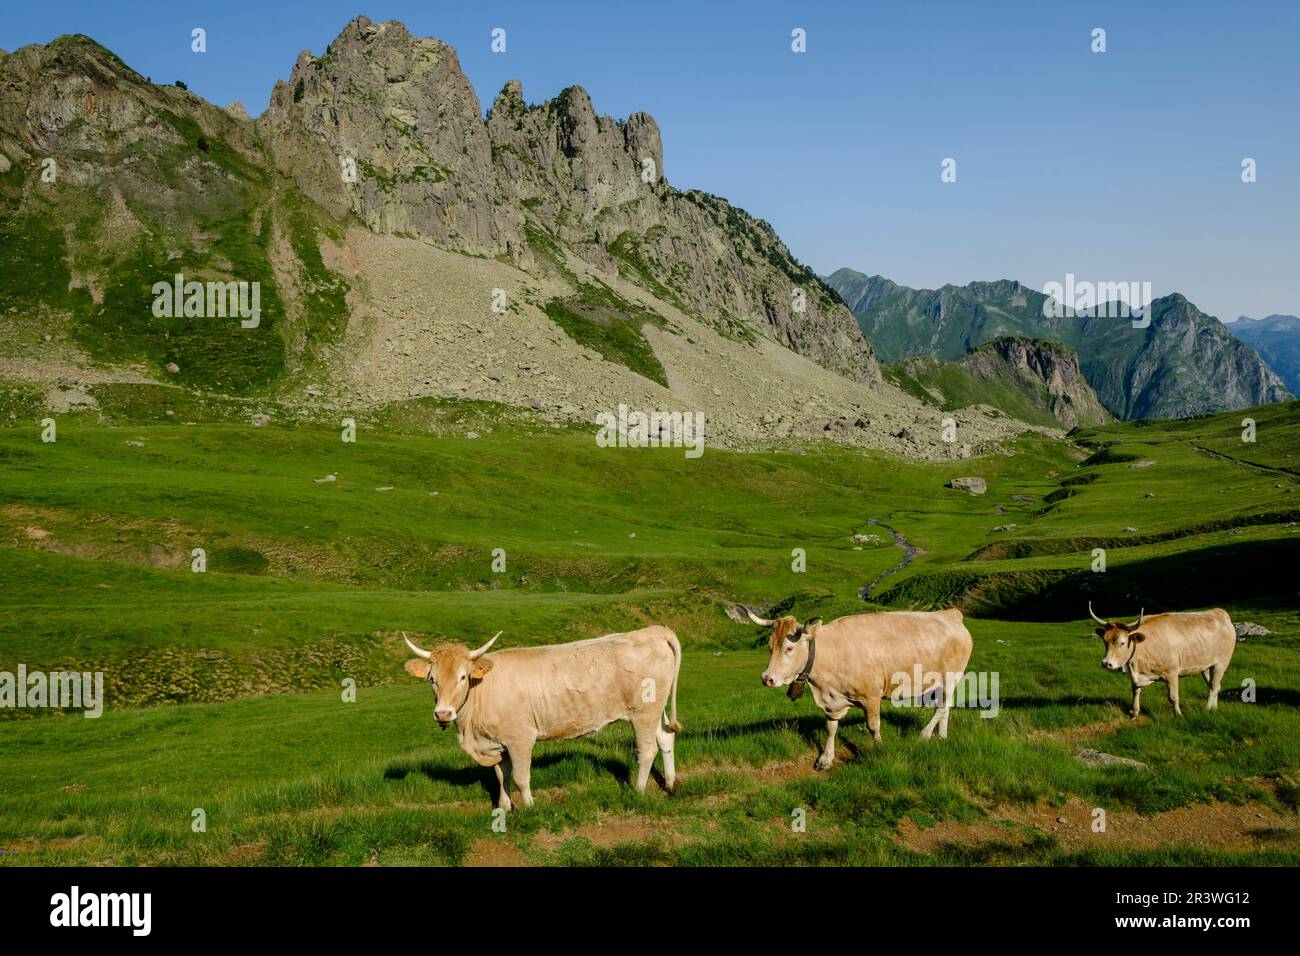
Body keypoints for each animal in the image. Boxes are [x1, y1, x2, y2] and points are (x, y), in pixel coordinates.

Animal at [402, 626, 683, 811]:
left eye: (462, 677)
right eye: (432, 679)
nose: (443, 713)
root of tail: (654, 631)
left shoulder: (521, 738)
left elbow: (520, 777)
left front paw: (529, 807)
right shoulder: (498, 743)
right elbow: (501, 775)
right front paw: (505, 807)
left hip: (643, 713)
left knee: (647, 750)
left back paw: (638, 791)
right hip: (655, 710)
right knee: (666, 738)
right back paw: (670, 785)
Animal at [746, 607, 973, 770]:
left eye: (789, 648)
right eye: (770, 646)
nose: (767, 678)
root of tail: (950, 613)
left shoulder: (871, 696)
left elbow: (873, 726)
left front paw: (879, 748)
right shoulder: (832, 701)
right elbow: (831, 728)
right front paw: (826, 758)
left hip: (952, 676)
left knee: (942, 707)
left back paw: (924, 734)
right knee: (945, 707)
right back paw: (941, 736)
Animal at [1087, 602, 1236, 718]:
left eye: (1122, 643)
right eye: (1105, 641)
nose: (1106, 663)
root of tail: (1220, 612)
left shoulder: (1171, 673)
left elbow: (1173, 696)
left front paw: (1178, 715)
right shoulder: (1136, 675)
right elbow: (1135, 690)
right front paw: (1134, 712)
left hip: (1221, 663)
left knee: (1214, 688)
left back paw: (1207, 709)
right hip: (1206, 665)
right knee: (1214, 685)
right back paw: (1214, 709)